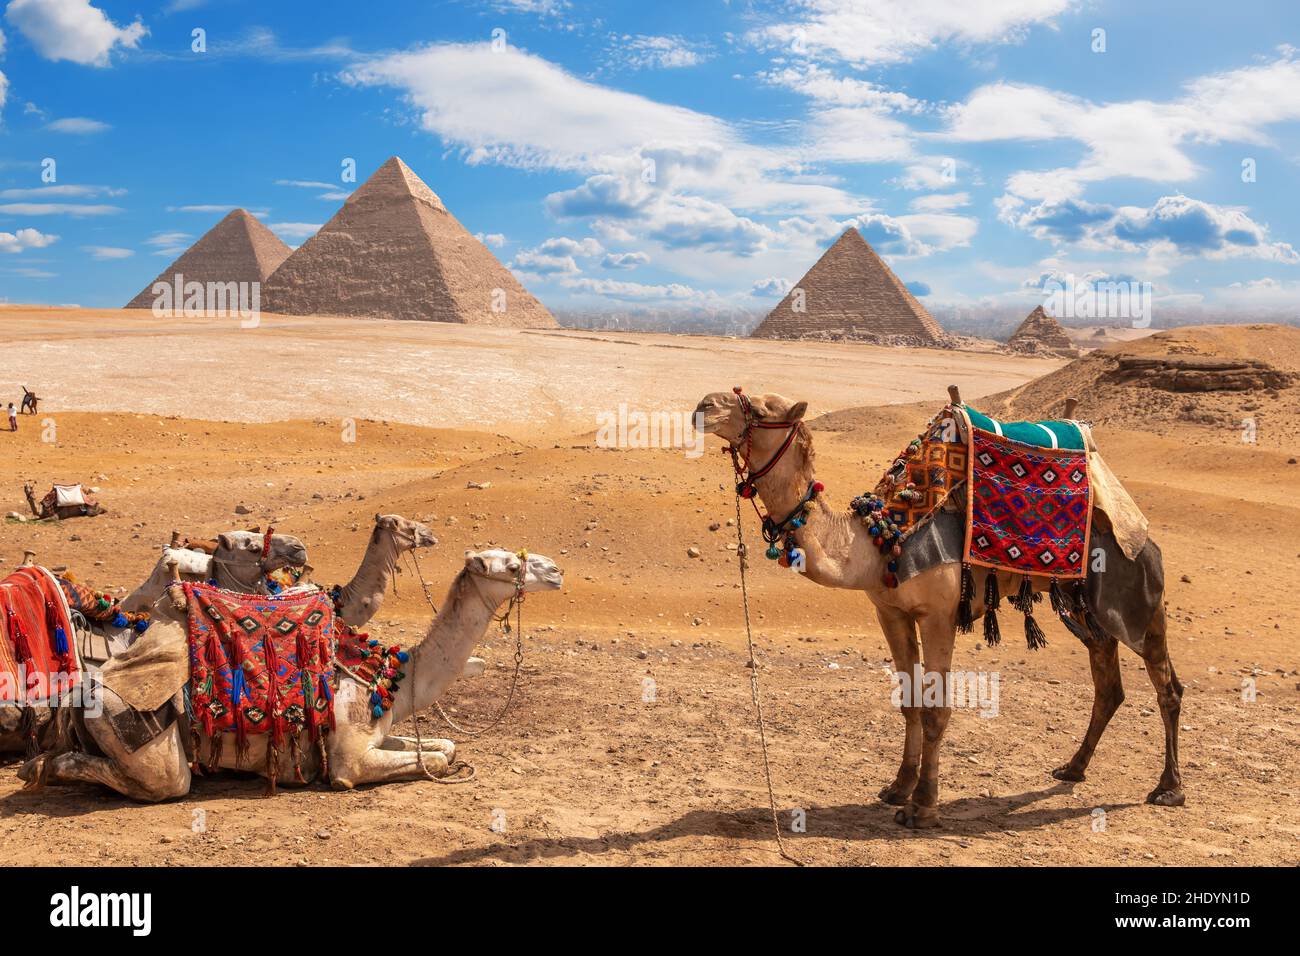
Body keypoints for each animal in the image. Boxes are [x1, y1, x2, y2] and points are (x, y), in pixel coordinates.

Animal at [19, 548, 563, 800]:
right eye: (509, 564)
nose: (556, 570)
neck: (394, 680)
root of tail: (81, 692)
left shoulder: (374, 734)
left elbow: (445, 749)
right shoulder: (348, 761)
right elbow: (427, 761)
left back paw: (40, 766)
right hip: (144, 737)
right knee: (163, 780)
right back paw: (41, 769)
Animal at [694, 389, 1182, 828]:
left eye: (761, 409)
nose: (703, 406)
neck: (878, 542)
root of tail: (1143, 531)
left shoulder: (939, 616)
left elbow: (935, 709)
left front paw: (923, 806)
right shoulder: (890, 612)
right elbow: (909, 702)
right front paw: (897, 788)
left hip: (1136, 598)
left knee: (1166, 685)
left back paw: (1168, 788)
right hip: (1088, 609)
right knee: (1108, 682)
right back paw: (1073, 768)